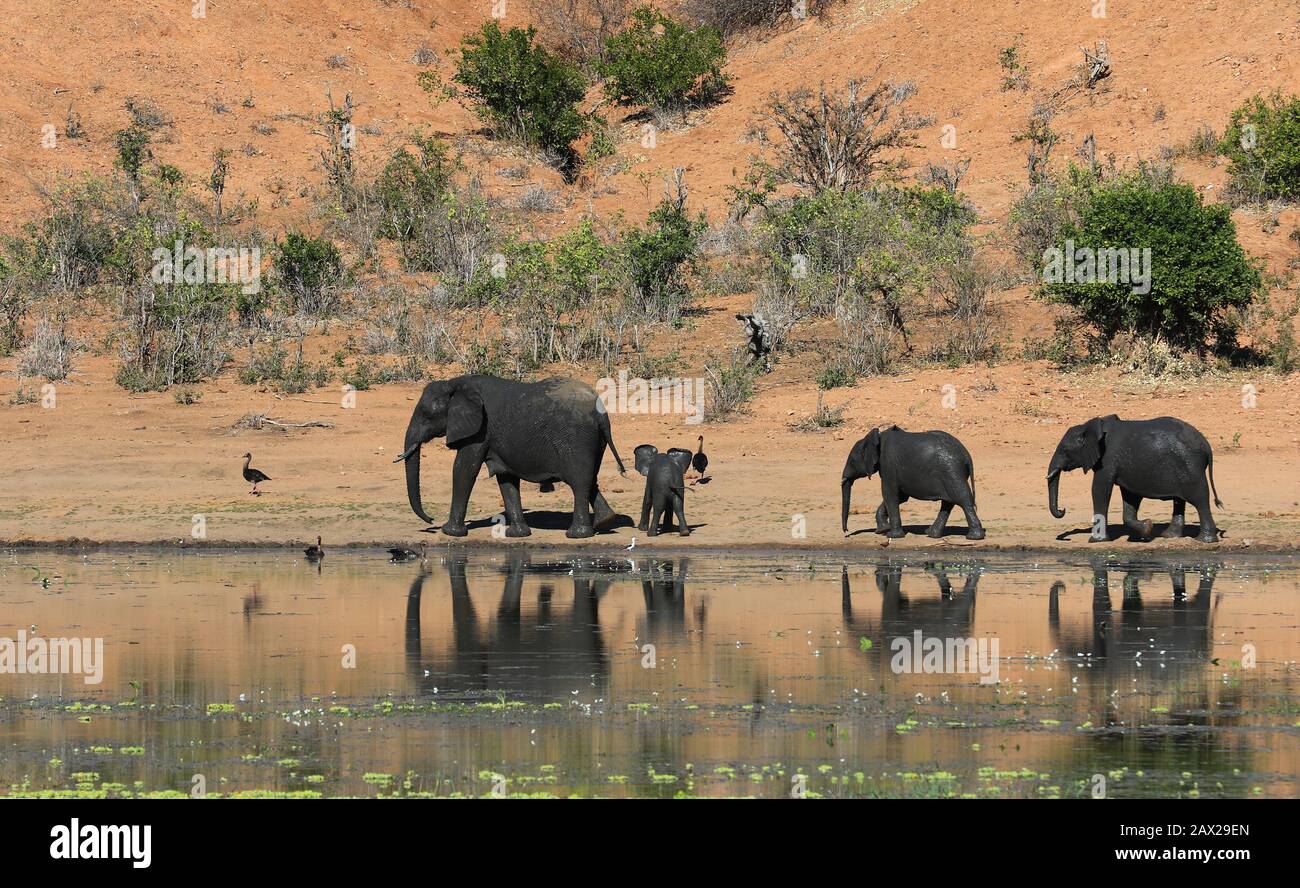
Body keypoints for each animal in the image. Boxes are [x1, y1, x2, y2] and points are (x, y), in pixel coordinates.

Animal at [394, 374, 626, 538]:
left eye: (427, 415)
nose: (430, 521)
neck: (456, 384)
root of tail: (601, 414)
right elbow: (505, 478)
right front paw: (517, 535)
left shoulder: (479, 430)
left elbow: (464, 468)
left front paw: (450, 532)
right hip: (593, 441)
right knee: (590, 479)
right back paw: (604, 522)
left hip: (575, 439)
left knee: (579, 482)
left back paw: (577, 535)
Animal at [841, 426, 985, 540]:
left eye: (851, 461)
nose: (846, 532)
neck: (877, 438)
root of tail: (966, 455)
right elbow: (900, 497)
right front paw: (882, 530)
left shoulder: (888, 464)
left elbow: (889, 495)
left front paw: (891, 535)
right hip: (951, 473)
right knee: (948, 502)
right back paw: (932, 534)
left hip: (952, 470)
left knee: (963, 500)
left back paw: (974, 537)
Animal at [1046, 415, 1223, 543]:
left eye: (1065, 450)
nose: (1062, 510)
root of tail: (1207, 446)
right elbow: (1130, 496)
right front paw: (1147, 529)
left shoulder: (1108, 459)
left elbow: (1099, 489)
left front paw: (1096, 541)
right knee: (1179, 501)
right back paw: (1169, 536)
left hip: (1191, 467)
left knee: (1200, 500)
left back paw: (1204, 540)